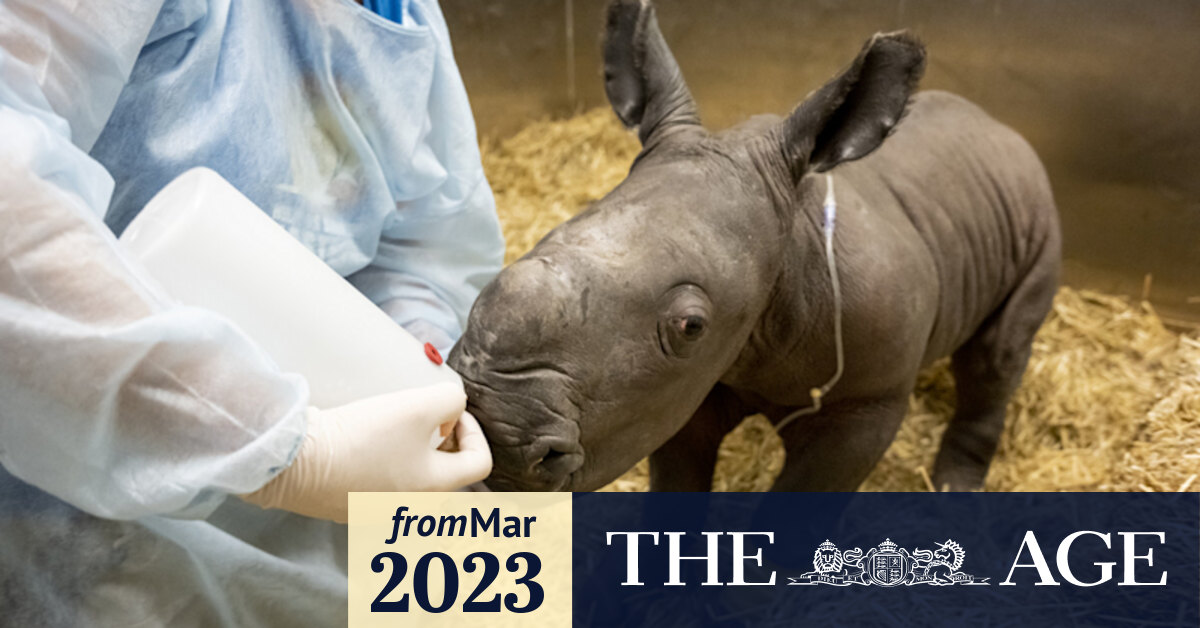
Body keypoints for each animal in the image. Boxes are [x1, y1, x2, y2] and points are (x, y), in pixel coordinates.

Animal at [448, 0, 1060, 492]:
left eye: (690, 326)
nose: (496, 429)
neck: (794, 252)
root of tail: (1000, 128)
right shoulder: (677, 393)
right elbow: (678, 484)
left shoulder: (867, 401)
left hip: (1040, 223)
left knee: (997, 355)